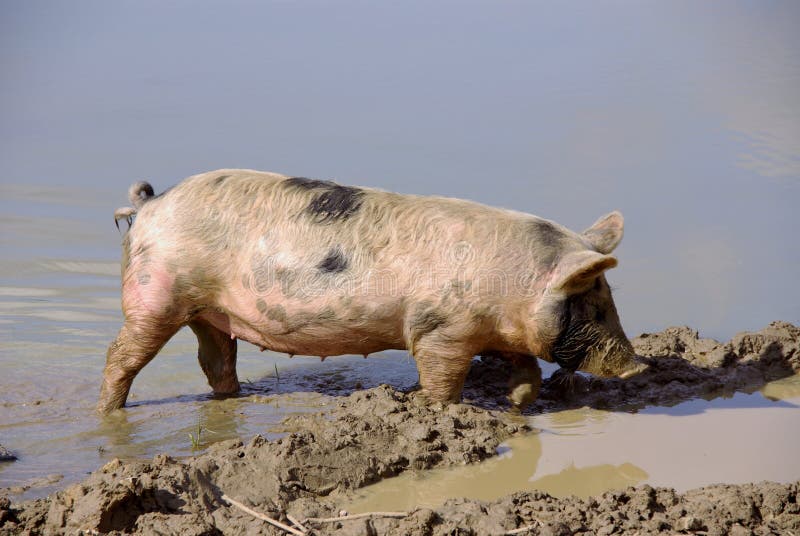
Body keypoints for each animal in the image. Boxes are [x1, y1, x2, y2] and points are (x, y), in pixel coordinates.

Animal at [98, 169, 645, 413]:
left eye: (607, 300)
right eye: (594, 307)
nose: (639, 366)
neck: (517, 285)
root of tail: (150, 204)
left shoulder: (498, 333)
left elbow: (527, 368)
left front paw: (518, 405)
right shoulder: (438, 331)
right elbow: (443, 379)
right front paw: (438, 410)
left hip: (207, 311)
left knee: (215, 360)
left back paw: (234, 398)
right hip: (157, 296)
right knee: (121, 356)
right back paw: (109, 411)